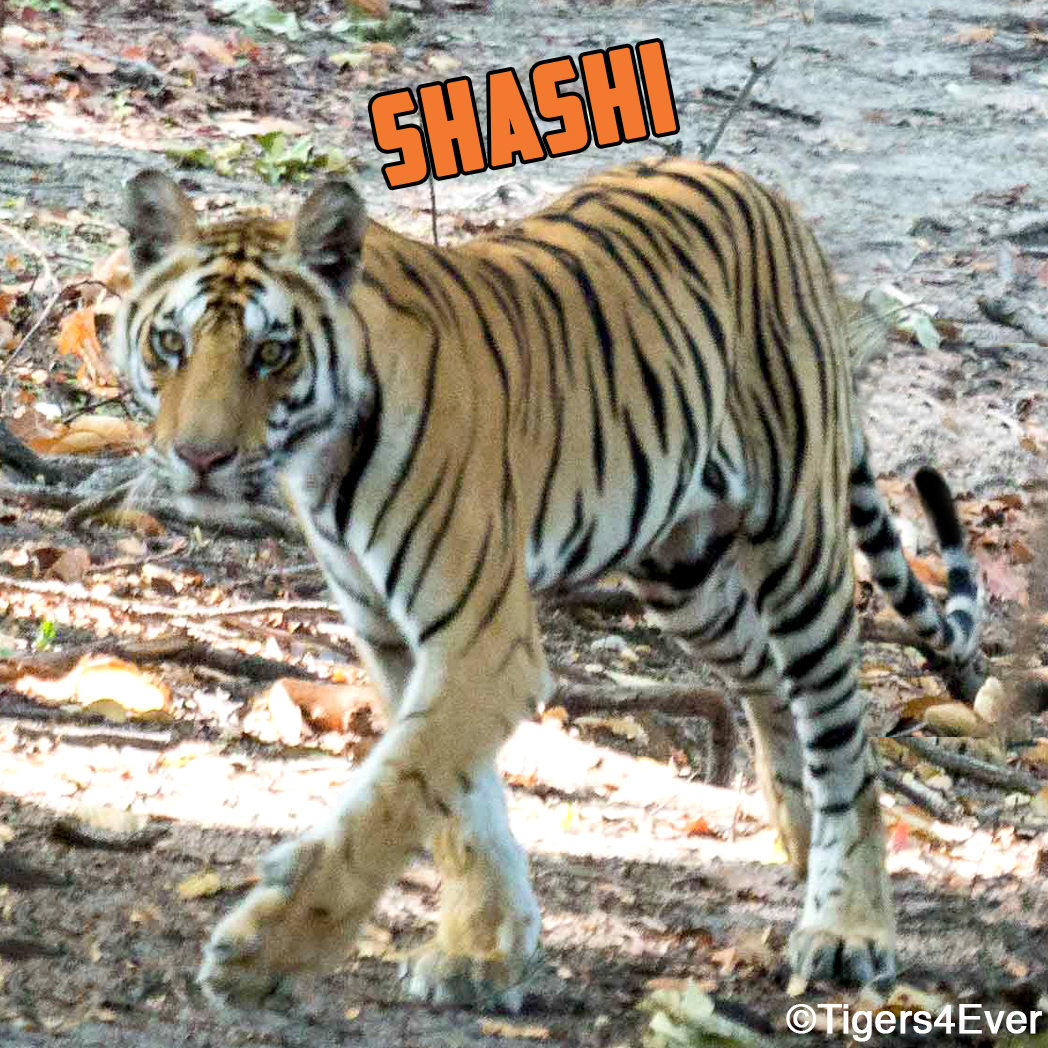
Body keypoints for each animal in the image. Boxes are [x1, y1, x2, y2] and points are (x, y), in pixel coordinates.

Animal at [111, 158, 980, 1012]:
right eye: (170, 343)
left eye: (272, 354)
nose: (199, 458)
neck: (322, 460)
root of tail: (766, 193)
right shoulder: (393, 638)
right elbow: (458, 808)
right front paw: (483, 951)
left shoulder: (482, 645)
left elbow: (393, 799)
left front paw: (267, 951)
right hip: (684, 573)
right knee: (768, 679)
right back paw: (796, 836)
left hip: (796, 544)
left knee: (843, 736)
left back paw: (847, 928)